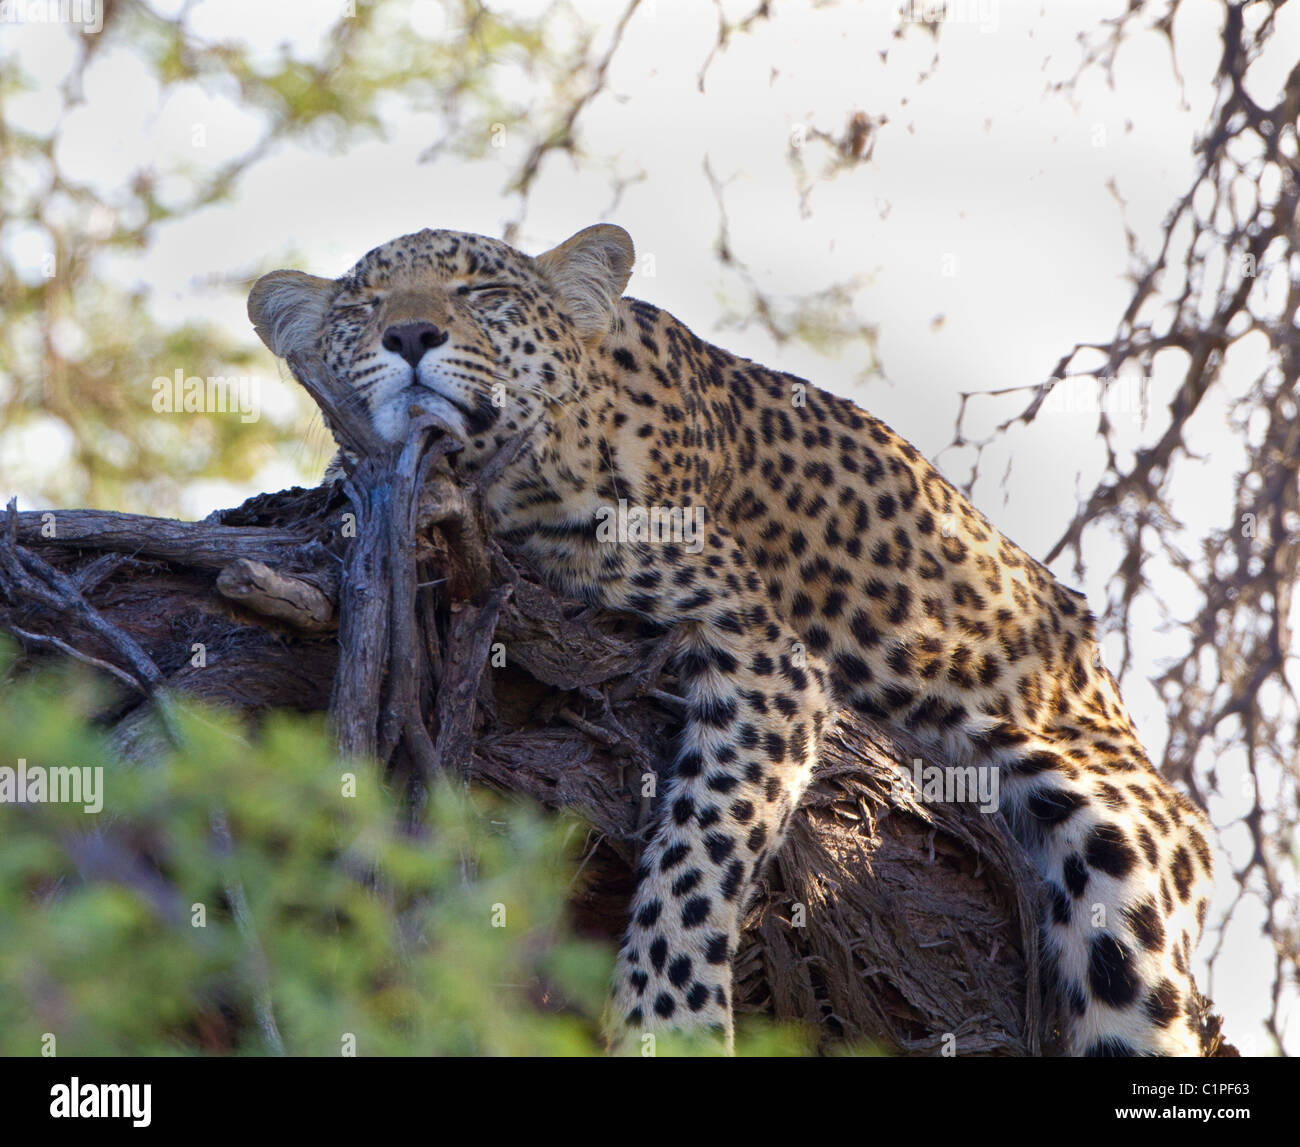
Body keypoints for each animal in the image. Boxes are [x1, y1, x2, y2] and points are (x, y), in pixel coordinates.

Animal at [248, 222, 1216, 1056]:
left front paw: (666, 1019)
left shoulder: (763, 650)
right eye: (363, 307)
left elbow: (701, 844)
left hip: (1120, 831)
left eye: (482, 293)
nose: (410, 333)